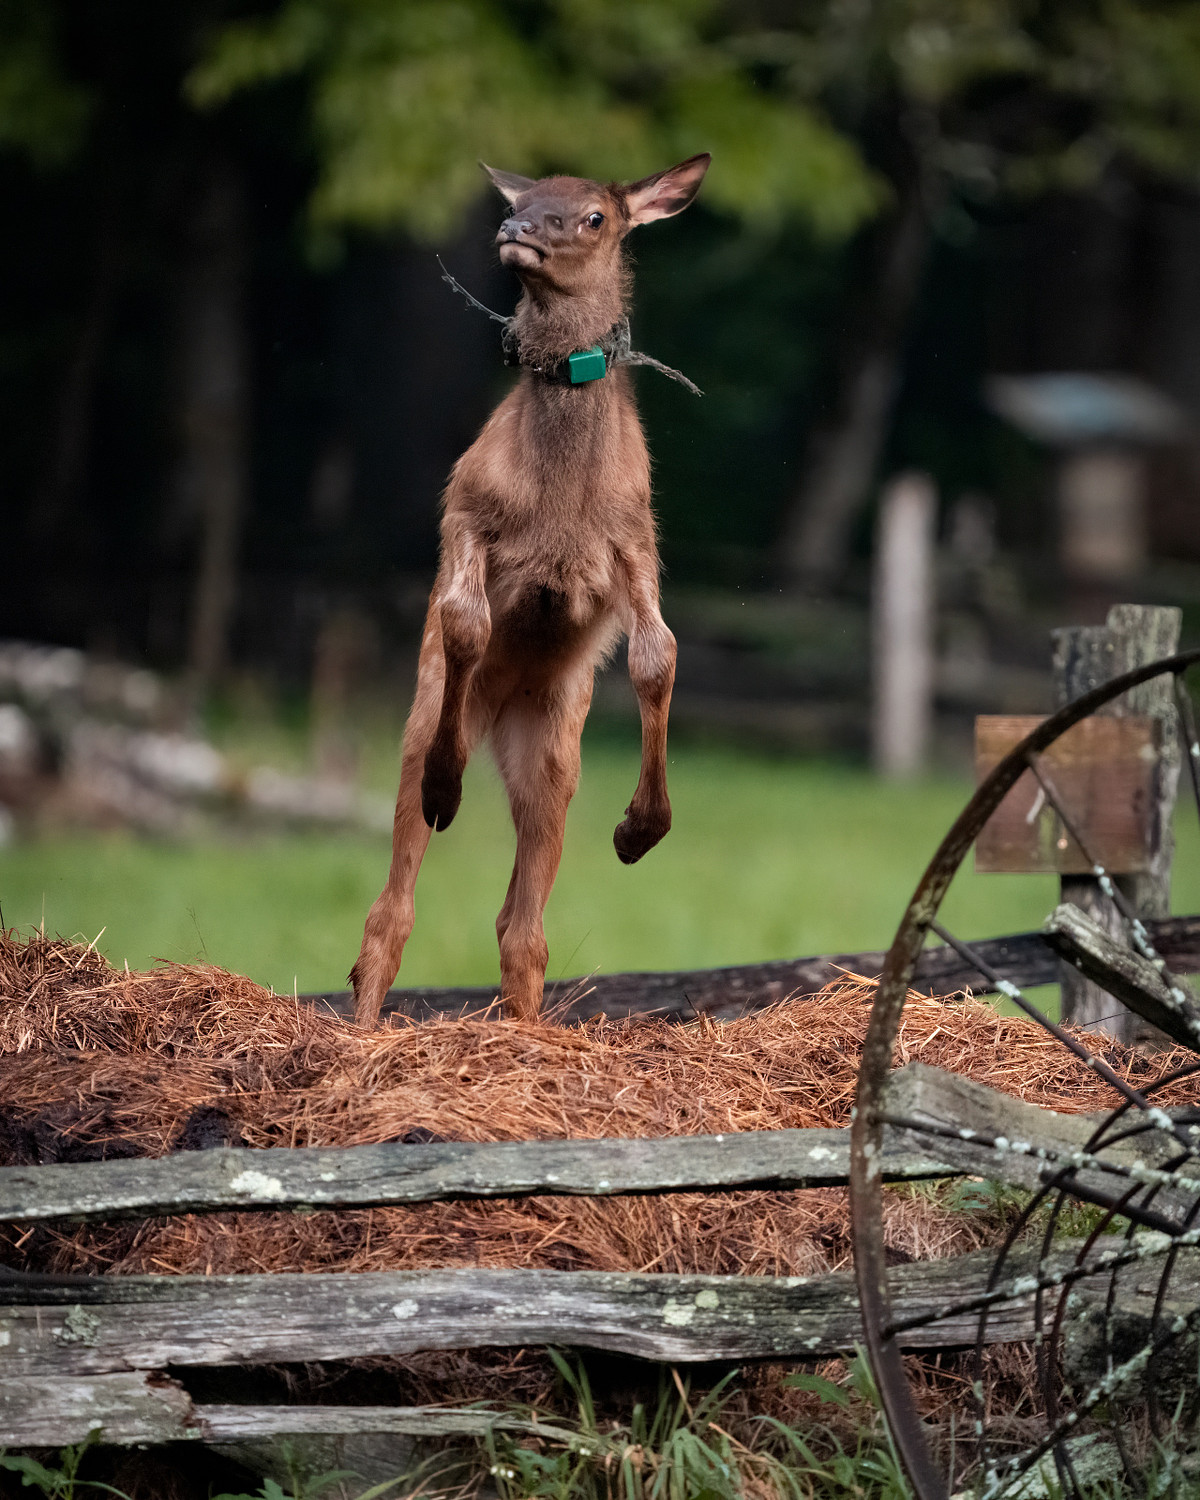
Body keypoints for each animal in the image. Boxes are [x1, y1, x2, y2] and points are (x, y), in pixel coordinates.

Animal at [349, 152, 711, 1027]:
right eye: (526, 195)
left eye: (593, 216)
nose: (513, 230)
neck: (559, 506)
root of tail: (505, 706)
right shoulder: (465, 509)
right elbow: (464, 621)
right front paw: (448, 783)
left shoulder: (636, 539)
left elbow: (658, 653)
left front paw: (640, 830)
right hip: (425, 717)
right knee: (391, 907)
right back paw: (364, 1030)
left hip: (553, 750)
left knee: (523, 925)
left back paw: (525, 1031)